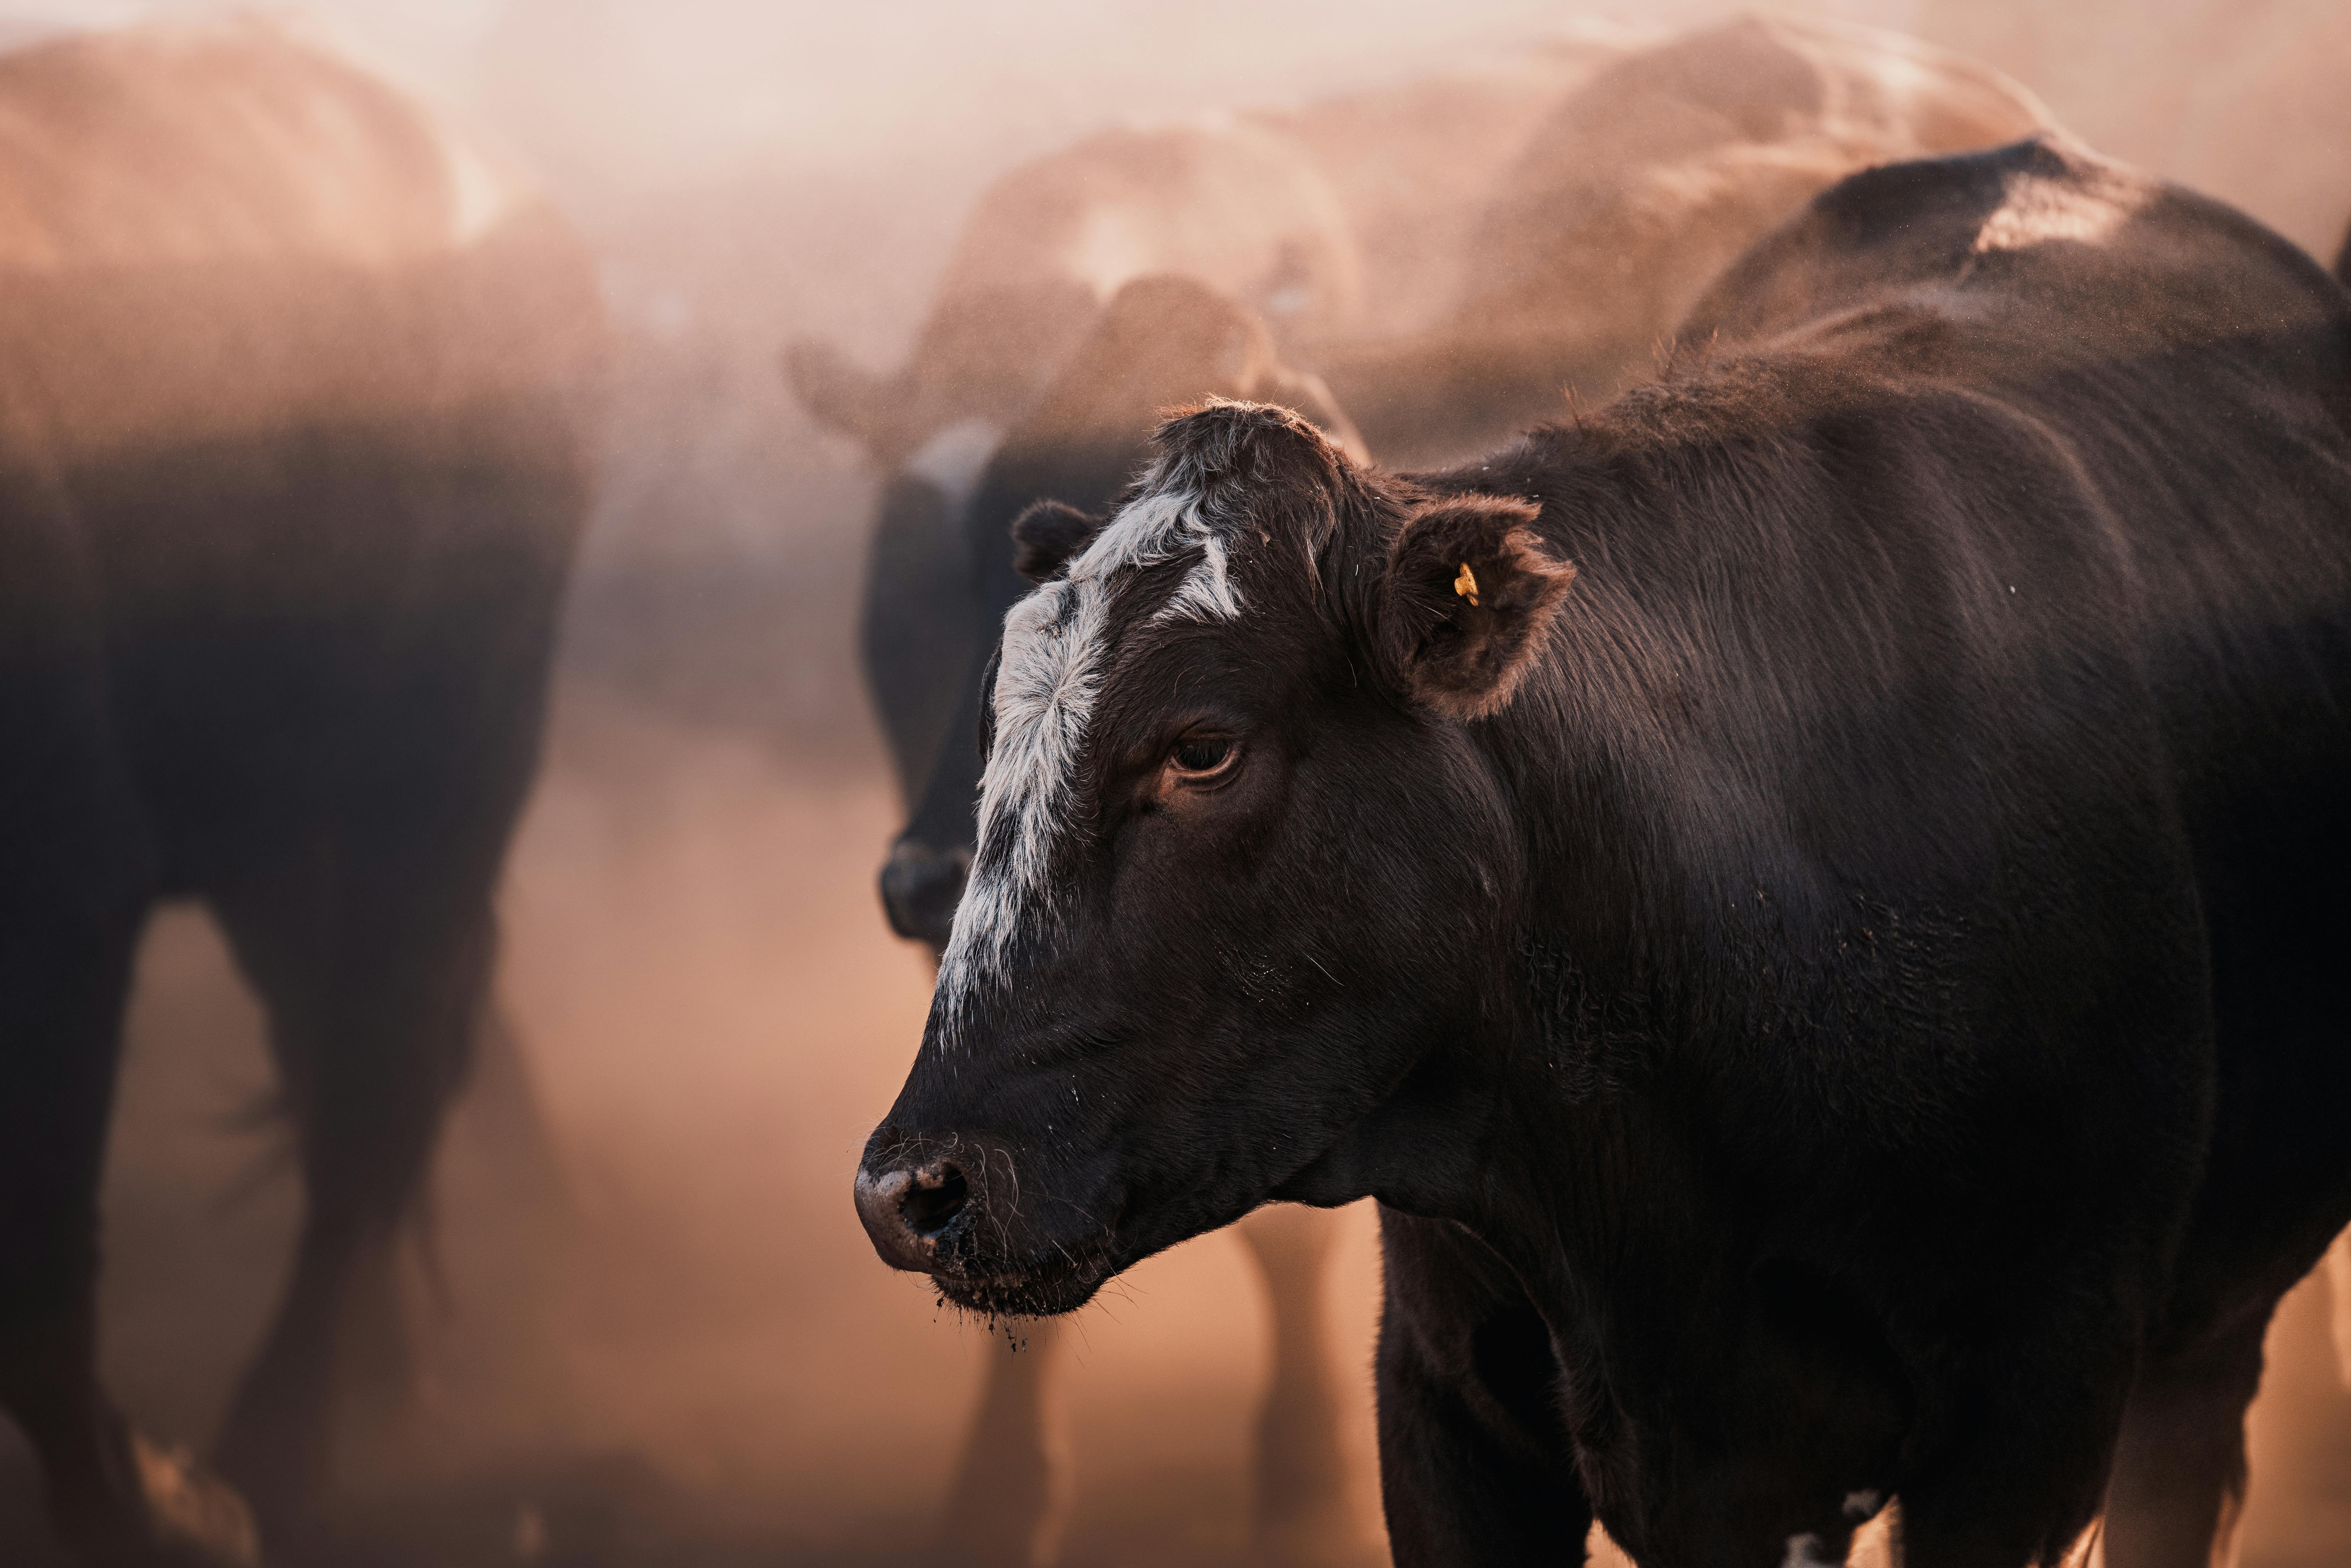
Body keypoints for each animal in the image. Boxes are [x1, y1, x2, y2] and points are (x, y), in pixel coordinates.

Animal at [0, 19, 600, 1567]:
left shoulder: (65, 890)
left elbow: (35, 1259)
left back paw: (279, 1449)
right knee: (328, 1054)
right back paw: (379, 1379)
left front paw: (151, 1506)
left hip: (448, 769)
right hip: (282, 839)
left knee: (372, 1091)